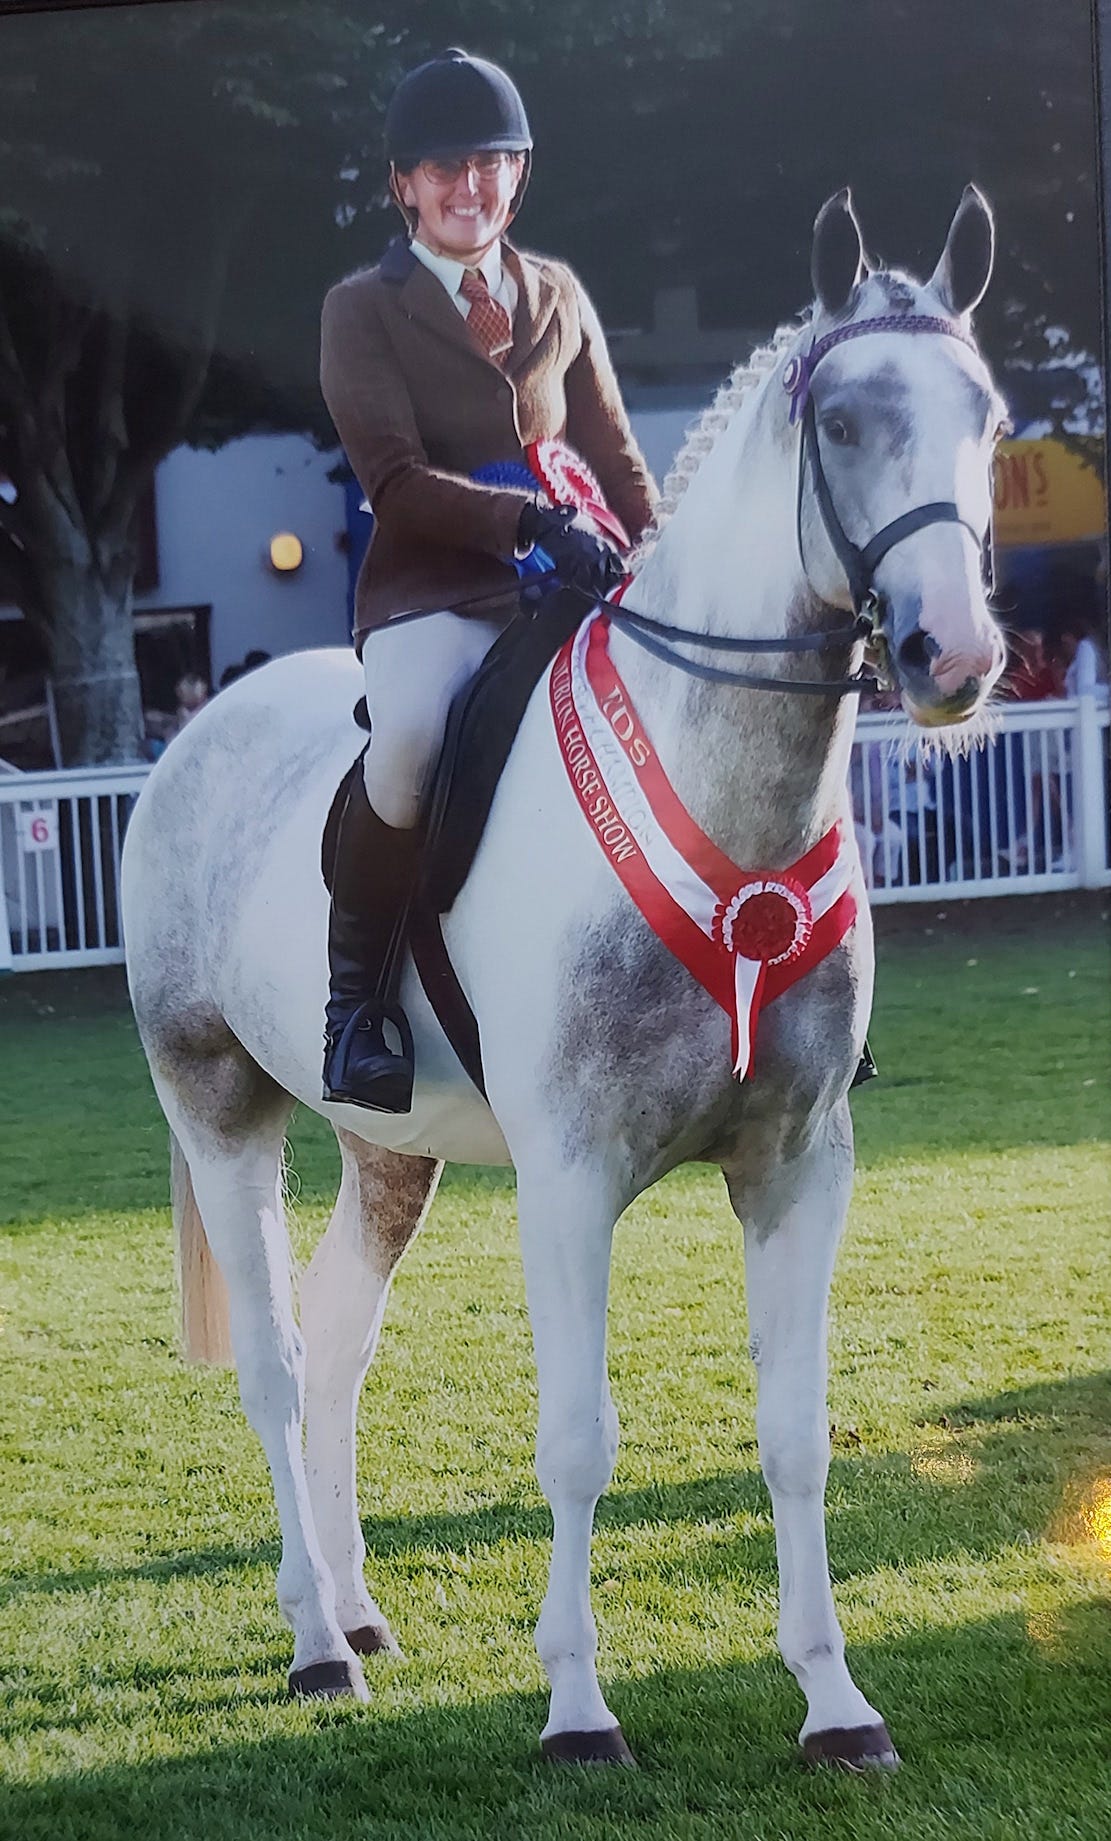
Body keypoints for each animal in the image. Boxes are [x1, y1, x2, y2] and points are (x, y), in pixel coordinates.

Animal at [120, 186, 1006, 1769]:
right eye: (842, 419)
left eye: (987, 417)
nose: (948, 653)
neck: (723, 791)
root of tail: (197, 733)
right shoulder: (570, 1173)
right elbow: (579, 1441)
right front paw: (579, 1710)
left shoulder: (800, 1162)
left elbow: (797, 1434)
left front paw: (835, 1702)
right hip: (215, 1100)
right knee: (279, 1364)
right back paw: (313, 1644)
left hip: (387, 1147)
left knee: (338, 1344)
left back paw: (357, 1611)